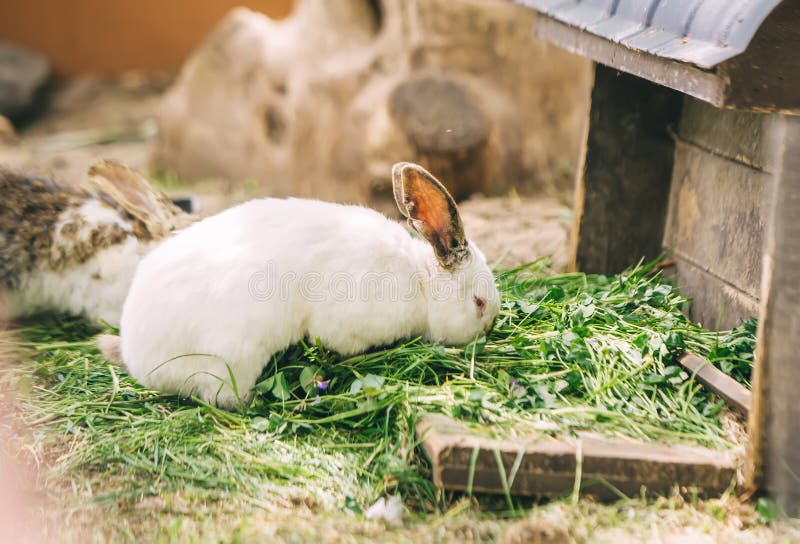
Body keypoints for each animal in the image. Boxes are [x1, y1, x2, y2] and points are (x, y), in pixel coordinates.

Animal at [97, 162, 500, 410]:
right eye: (478, 302)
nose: (488, 329)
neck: (421, 282)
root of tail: (138, 357)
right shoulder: (346, 325)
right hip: (232, 362)